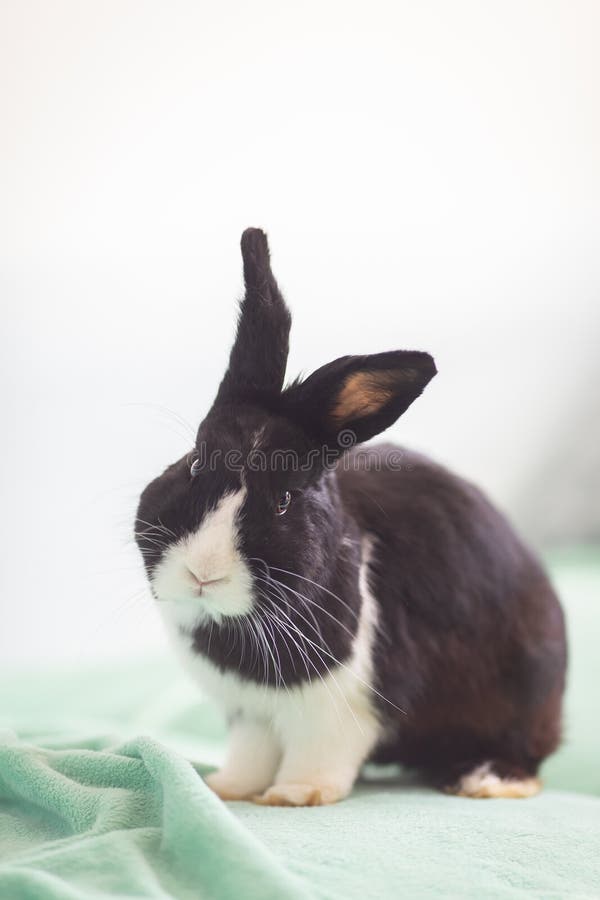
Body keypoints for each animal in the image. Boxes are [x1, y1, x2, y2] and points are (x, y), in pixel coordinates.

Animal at [135, 228, 567, 806]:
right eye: (195, 465)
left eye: (284, 500)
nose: (204, 573)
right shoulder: (250, 714)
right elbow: (251, 754)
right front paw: (230, 789)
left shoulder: (340, 708)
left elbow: (318, 755)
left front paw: (294, 795)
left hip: (522, 696)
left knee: (526, 754)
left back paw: (485, 780)